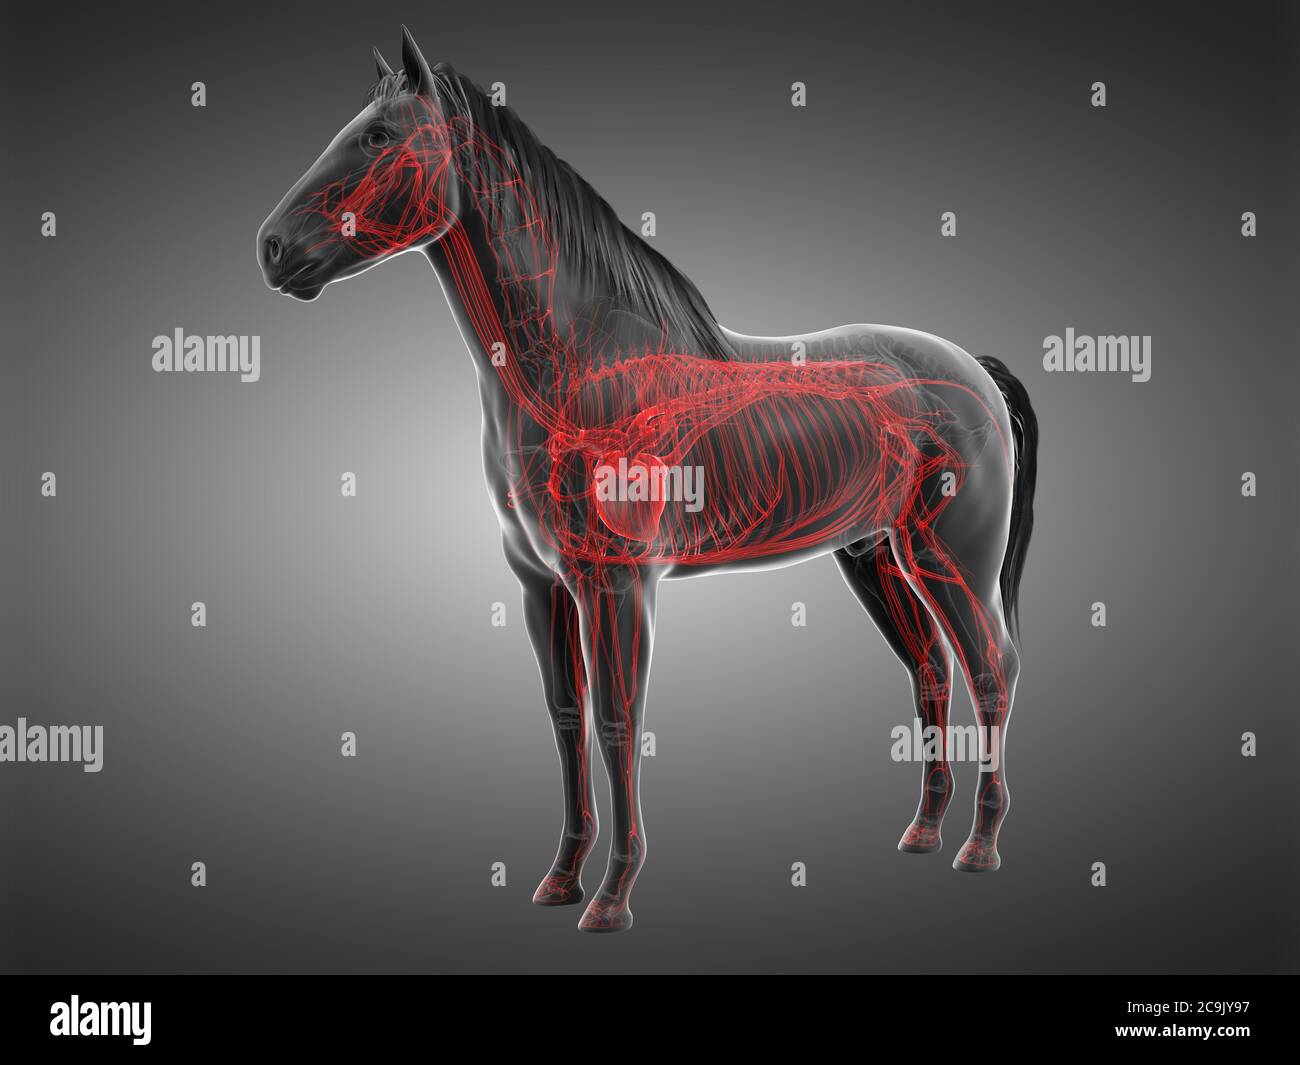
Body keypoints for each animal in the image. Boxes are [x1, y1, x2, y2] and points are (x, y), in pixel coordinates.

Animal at [257, 28, 1039, 933]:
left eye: (379, 136)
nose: (271, 249)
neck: (579, 365)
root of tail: (970, 368)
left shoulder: (618, 583)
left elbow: (617, 722)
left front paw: (612, 898)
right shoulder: (543, 585)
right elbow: (567, 721)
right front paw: (561, 879)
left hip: (948, 556)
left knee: (991, 668)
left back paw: (979, 844)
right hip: (873, 555)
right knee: (931, 669)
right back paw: (922, 830)